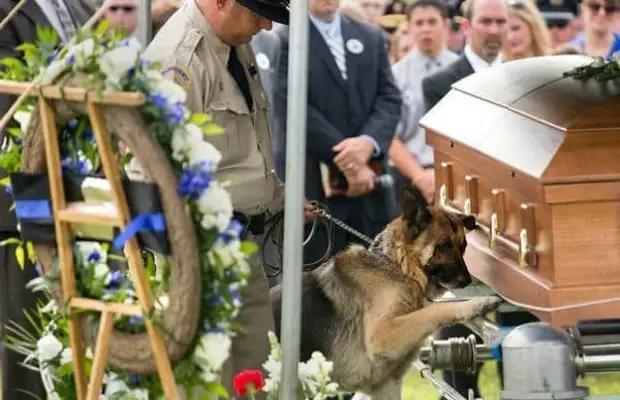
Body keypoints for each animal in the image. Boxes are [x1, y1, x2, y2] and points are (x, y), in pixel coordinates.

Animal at [268, 188, 502, 400]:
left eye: (463, 247)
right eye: (443, 246)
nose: (467, 280)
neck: (397, 266)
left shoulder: (386, 385)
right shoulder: (382, 334)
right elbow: (435, 309)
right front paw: (480, 302)